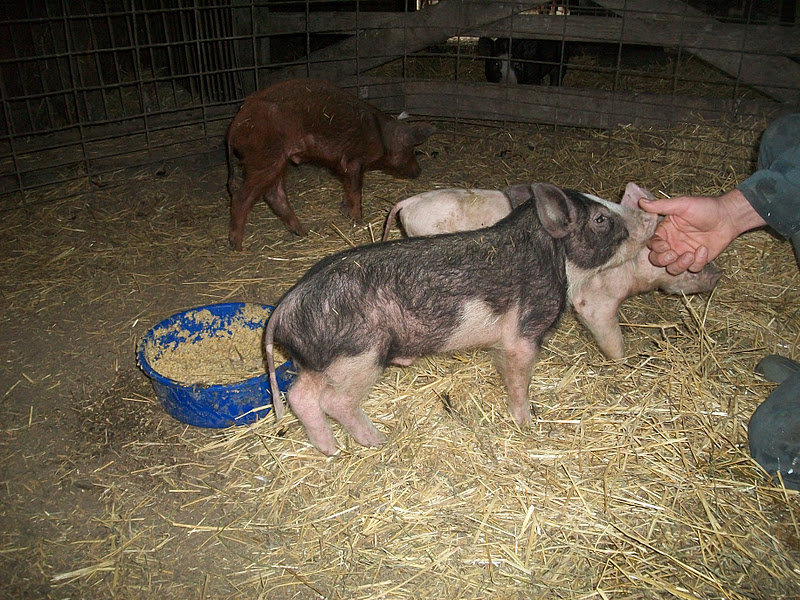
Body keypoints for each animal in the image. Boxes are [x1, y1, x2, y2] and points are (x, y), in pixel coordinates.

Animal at [226, 78, 435, 251]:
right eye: (411, 149)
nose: (419, 171)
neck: (381, 138)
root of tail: (235, 127)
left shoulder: (343, 165)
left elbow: (349, 189)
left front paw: (344, 211)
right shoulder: (353, 160)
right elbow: (355, 190)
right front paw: (358, 220)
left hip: (276, 160)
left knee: (274, 194)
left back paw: (302, 233)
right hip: (265, 158)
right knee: (242, 197)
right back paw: (237, 247)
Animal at [265, 183, 656, 455]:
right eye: (600, 219)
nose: (649, 214)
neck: (556, 258)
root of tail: (286, 305)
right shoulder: (524, 330)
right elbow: (520, 375)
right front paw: (526, 423)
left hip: (322, 360)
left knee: (299, 395)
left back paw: (330, 449)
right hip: (358, 355)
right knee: (334, 401)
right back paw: (378, 440)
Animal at [382, 182, 723, 359]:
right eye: (688, 262)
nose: (717, 273)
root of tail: (407, 201)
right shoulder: (595, 299)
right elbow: (610, 334)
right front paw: (623, 362)